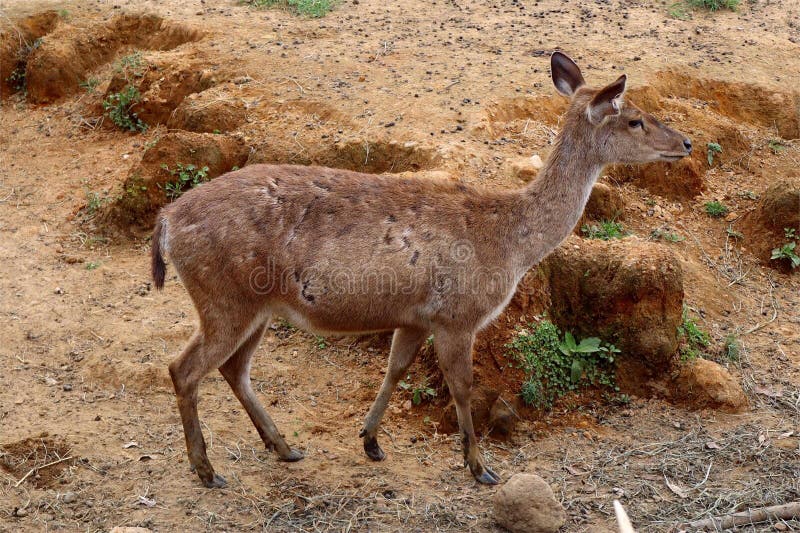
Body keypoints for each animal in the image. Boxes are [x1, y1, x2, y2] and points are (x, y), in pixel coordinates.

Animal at [151, 51, 692, 488]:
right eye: (636, 120)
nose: (686, 143)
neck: (510, 243)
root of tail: (167, 221)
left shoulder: (414, 317)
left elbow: (395, 368)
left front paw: (370, 441)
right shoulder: (458, 314)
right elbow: (463, 386)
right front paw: (481, 468)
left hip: (258, 306)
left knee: (232, 368)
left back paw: (284, 447)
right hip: (226, 298)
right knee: (184, 367)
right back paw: (207, 470)